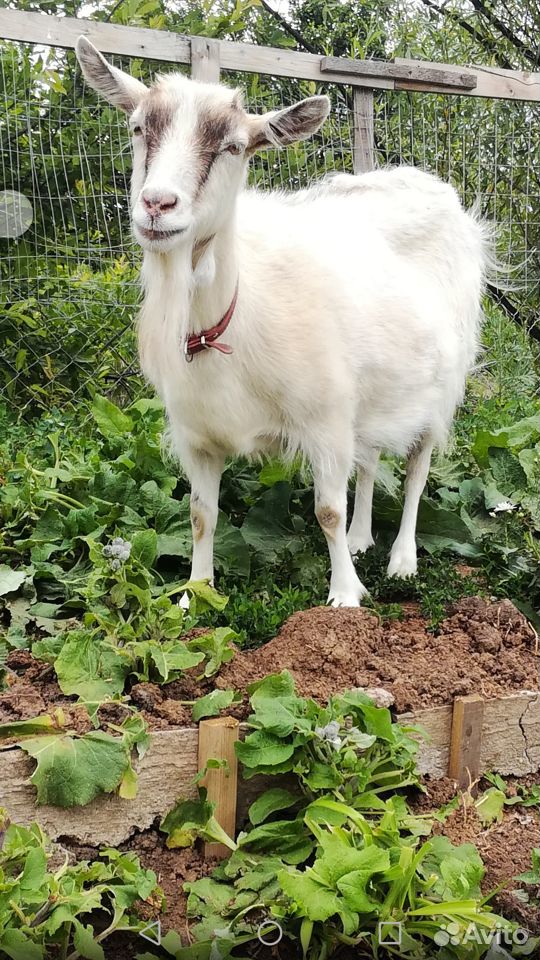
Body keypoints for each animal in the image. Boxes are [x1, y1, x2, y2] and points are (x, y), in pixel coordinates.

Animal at [76, 37, 487, 606]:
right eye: (138, 128)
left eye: (233, 146)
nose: (157, 204)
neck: (232, 321)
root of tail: (432, 187)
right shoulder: (197, 436)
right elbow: (201, 516)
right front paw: (194, 592)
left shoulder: (326, 420)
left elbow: (327, 510)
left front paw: (344, 596)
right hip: (374, 388)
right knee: (369, 460)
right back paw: (362, 539)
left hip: (439, 388)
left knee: (417, 470)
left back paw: (402, 559)